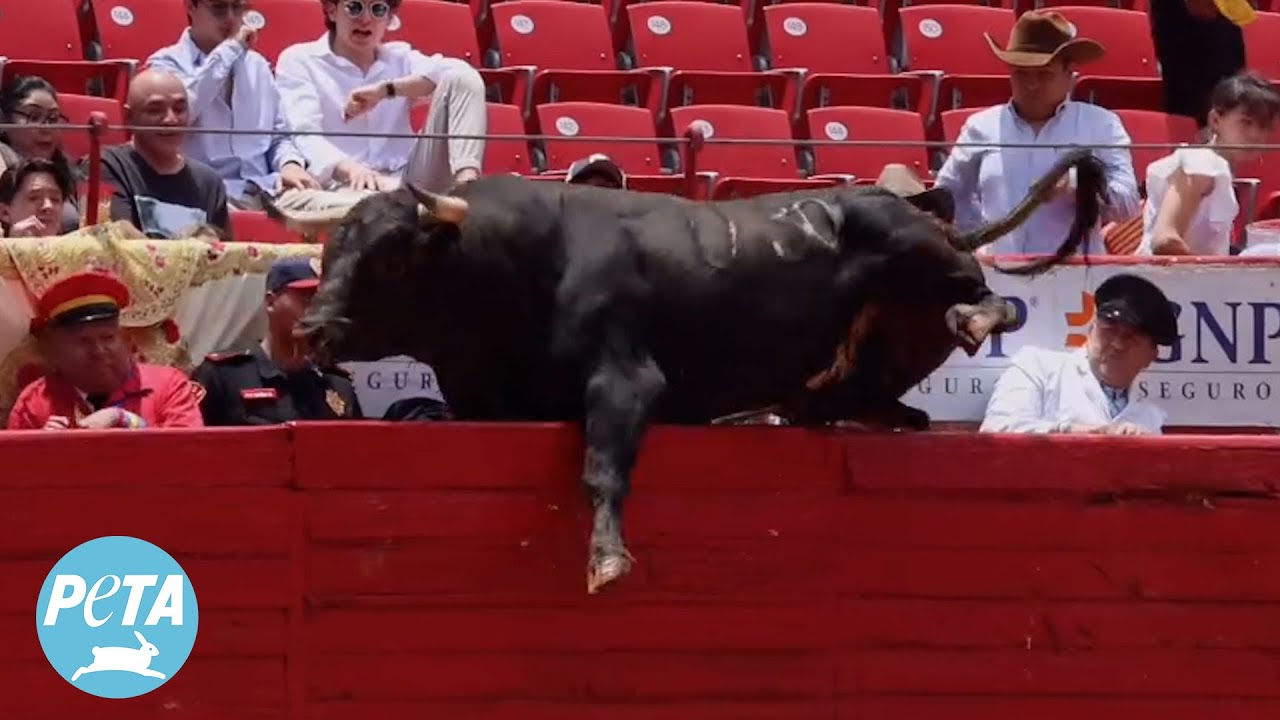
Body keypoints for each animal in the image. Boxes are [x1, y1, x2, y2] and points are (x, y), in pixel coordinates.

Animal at [259, 148, 1107, 594]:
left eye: (392, 257)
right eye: (332, 251)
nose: (313, 329)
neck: (512, 265)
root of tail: (926, 209)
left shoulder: (628, 380)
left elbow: (602, 469)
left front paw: (606, 560)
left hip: (920, 251)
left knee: (983, 293)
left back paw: (973, 320)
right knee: (874, 398)